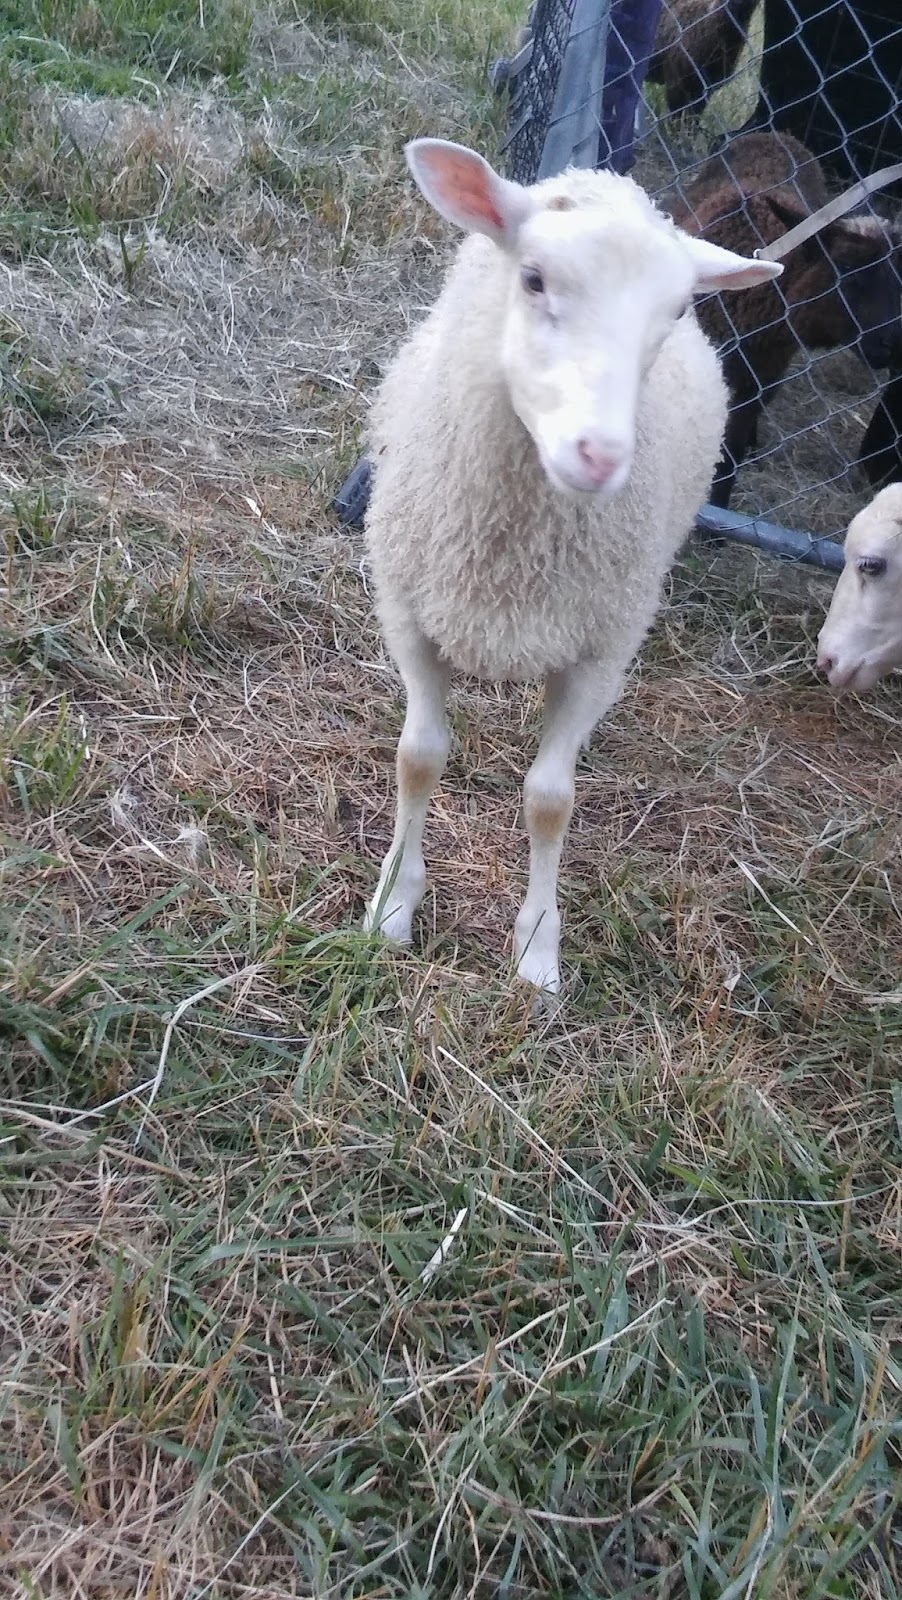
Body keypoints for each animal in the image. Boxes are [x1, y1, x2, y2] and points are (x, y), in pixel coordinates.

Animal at [361, 138, 779, 994]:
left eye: (676, 312)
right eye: (533, 279)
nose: (601, 455)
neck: (512, 548)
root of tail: (606, 179)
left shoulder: (600, 652)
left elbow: (550, 799)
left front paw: (537, 951)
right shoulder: (410, 616)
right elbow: (418, 759)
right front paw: (392, 906)